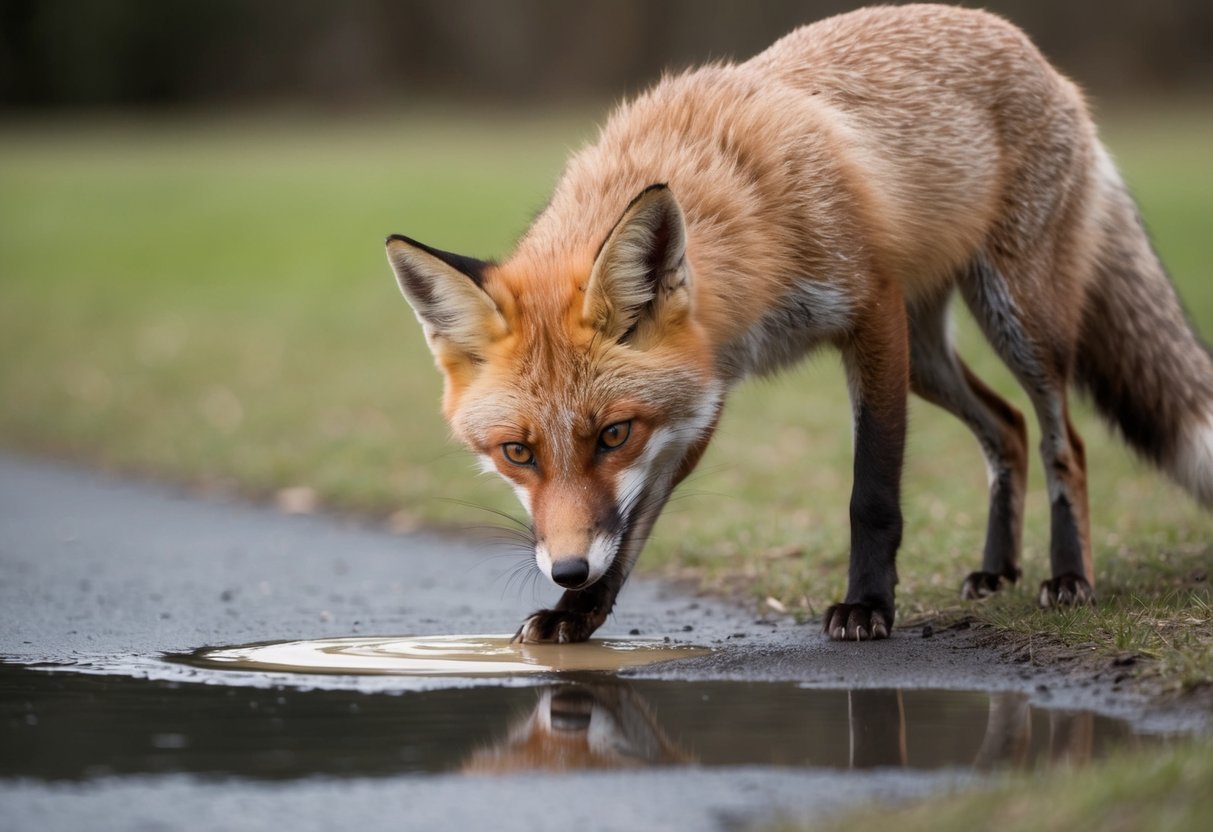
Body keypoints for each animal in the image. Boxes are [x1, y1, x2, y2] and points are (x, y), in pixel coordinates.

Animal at [386, 4, 1213, 643]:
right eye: (517, 452)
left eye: (612, 435)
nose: (565, 569)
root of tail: (1030, 50)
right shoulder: (700, 396)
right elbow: (633, 525)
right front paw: (581, 612)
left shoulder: (866, 315)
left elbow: (870, 493)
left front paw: (868, 605)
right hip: (928, 355)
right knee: (1005, 428)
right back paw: (996, 569)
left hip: (1016, 319)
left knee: (1060, 438)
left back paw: (1068, 576)